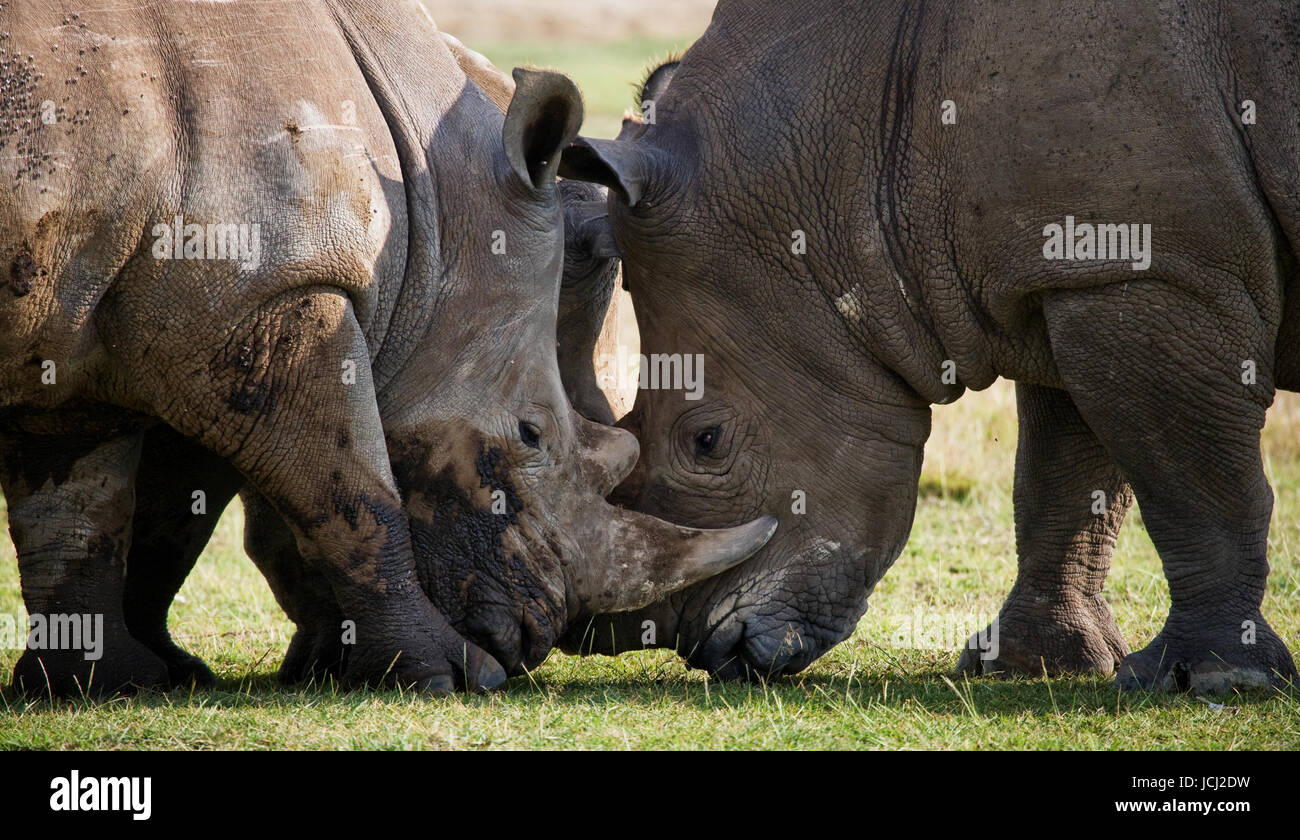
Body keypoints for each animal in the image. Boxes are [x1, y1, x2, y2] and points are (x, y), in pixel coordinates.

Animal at [0, 0, 774, 697]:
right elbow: (351, 494)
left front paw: (101, 684)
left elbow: (77, 510)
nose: (533, 638)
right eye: (530, 435)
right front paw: (447, 677)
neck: (431, 222)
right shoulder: (268, 296)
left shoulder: (84, 320)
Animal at [559, 0, 1300, 692]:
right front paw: (1027, 665)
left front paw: (1214, 679)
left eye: (707, 442)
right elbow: (1062, 481)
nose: (700, 649)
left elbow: (1195, 484)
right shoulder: (1071, 271)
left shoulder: (1145, 270)